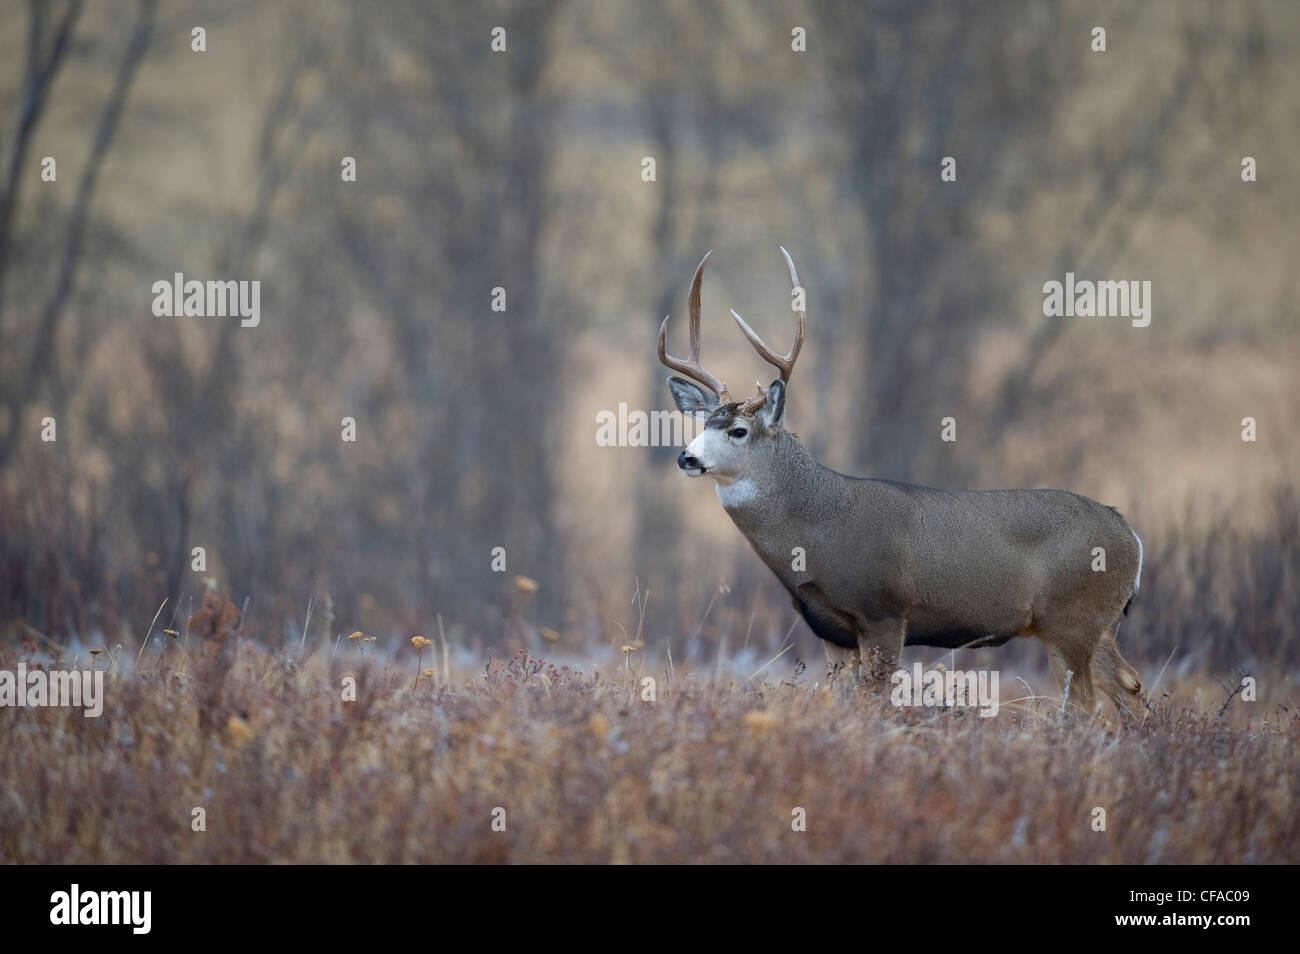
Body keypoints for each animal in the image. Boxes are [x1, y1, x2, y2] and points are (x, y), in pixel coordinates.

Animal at [658, 249, 1145, 717]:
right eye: (703, 423)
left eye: (738, 431)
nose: (686, 457)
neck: (816, 527)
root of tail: (1131, 536)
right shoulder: (829, 629)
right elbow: (842, 699)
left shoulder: (885, 613)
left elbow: (874, 700)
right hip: (1092, 625)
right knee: (1130, 685)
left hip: (1070, 619)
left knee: (1085, 703)